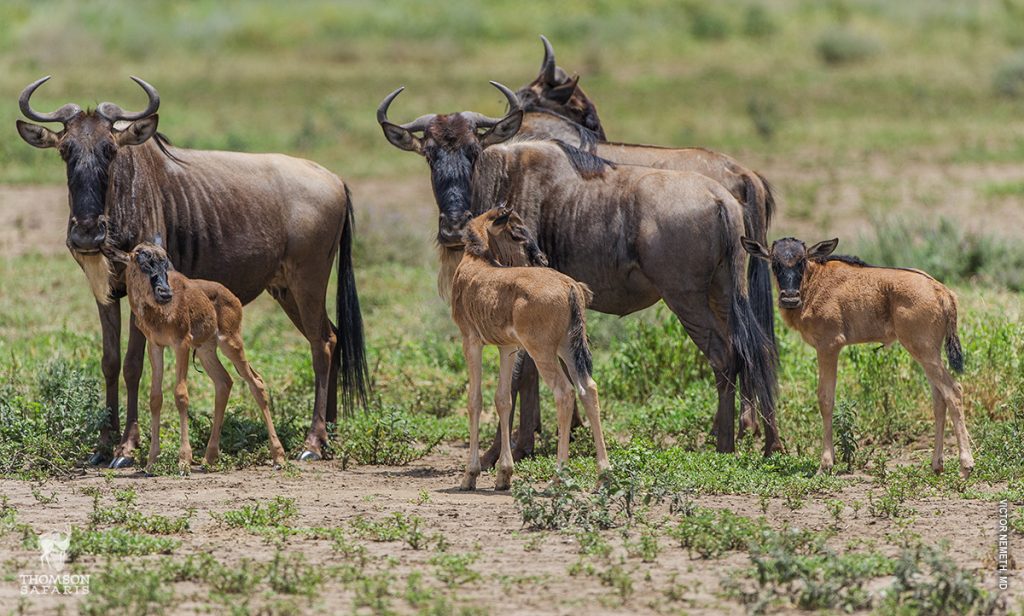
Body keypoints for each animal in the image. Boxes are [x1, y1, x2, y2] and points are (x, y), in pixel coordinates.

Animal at [104, 242, 286, 472]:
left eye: (165, 263)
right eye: (141, 261)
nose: (165, 293)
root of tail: (232, 297)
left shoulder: (181, 343)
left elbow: (181, 395)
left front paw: (184, 461)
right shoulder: (156, 346)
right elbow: (155, 398)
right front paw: (152, 461)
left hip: (230, 343)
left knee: (256, 382)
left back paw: (279, 457)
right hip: (205, 350)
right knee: (224, 382)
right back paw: (209, 457)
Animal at [451, 207, 608, 490]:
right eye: (516, 232)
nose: (541, 258)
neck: (476, 261)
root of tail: (570, 286)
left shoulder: (471, 341)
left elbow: (475, 400)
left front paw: (470, 475)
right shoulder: (508, 348)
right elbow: (503, 399)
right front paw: (504, 474)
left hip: (542, 351)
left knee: (565, 392)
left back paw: (558, 476)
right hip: (567, 348)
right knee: (587, 389)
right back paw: (604, 475)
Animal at [741, 236, 974, 478]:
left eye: (802, 261)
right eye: (775, 263)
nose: (789, 298)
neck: (813, 282)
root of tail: (942, 291)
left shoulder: (829, 346)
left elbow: (825, 399)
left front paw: (825, 464)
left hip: (923, 351)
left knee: (954, 391)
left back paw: (965, 465)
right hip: (927, 353)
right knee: (939, 399)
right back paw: (937, 465)